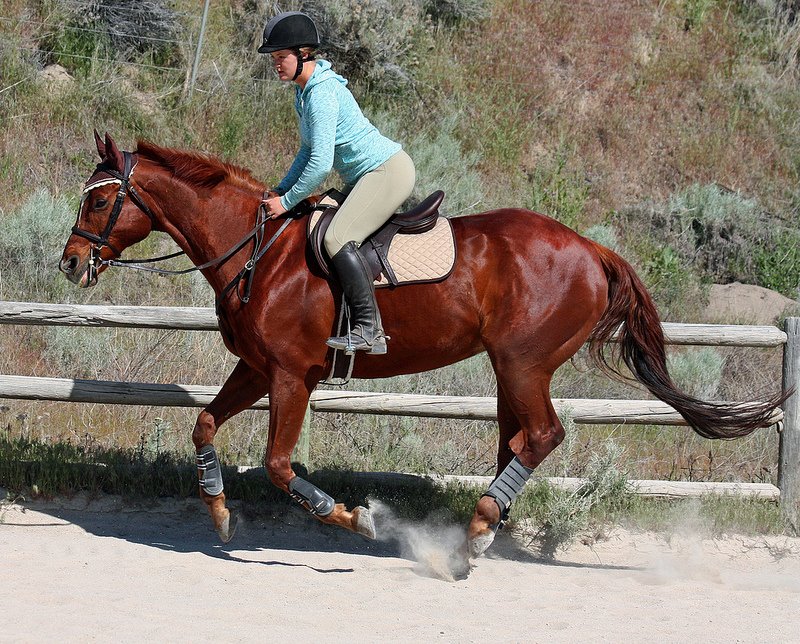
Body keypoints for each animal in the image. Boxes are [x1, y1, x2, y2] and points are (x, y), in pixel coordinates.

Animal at [60, 132, 786, 573]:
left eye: (98, 202)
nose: (69, 263)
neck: (256, 252)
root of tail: (591, 248)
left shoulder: (292, 376)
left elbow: (278, 465)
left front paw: (354, 519)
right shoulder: (257, 369)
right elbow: (205, 424)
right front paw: (217, 512)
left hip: (523, 361)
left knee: (541, 435)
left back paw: (478, 529)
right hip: (508, 367)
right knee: (517, 440)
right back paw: (481, 532)